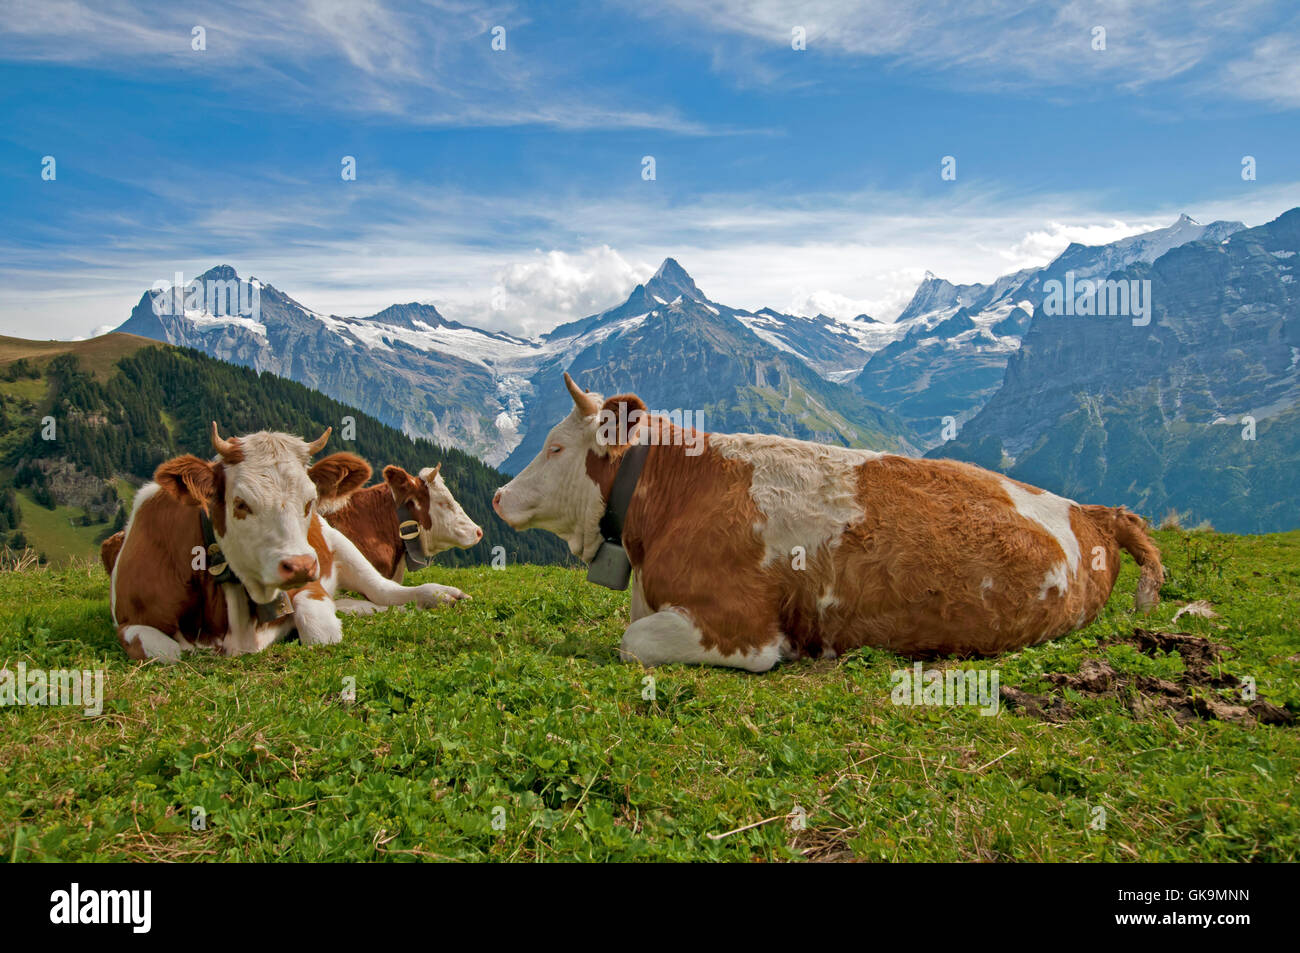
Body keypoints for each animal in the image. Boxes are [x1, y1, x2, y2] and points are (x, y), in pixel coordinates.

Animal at [109, 423, 469, 661]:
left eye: (310, 501)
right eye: (240, 503)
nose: (300, 565)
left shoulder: (308, 585)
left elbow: (320, 632)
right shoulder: (128, 623)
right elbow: (170, 653)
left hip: (342, 548)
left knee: (388, 591)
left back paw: (438, 596)